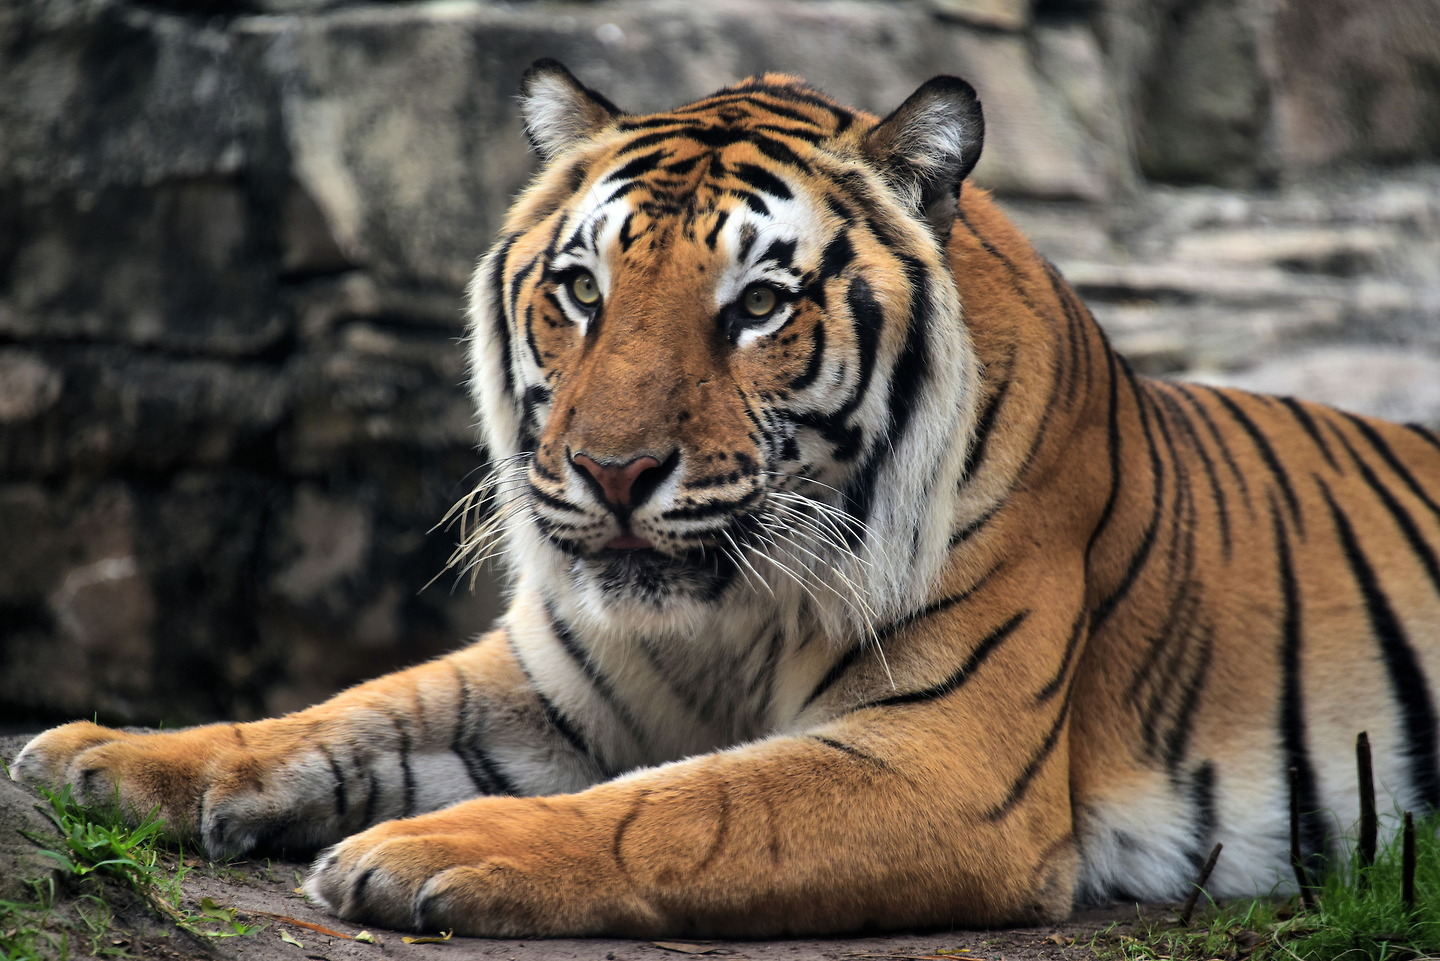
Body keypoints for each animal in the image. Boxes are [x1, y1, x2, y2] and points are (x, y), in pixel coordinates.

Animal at [12, 60, 1440, 938]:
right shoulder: (554, 679)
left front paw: (426, 852)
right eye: (580, 288)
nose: (613, 472)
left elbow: (684, 809)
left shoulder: (943, 756)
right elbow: (348, 711)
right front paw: (105, 755)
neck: (723, 616)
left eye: (756, 305)